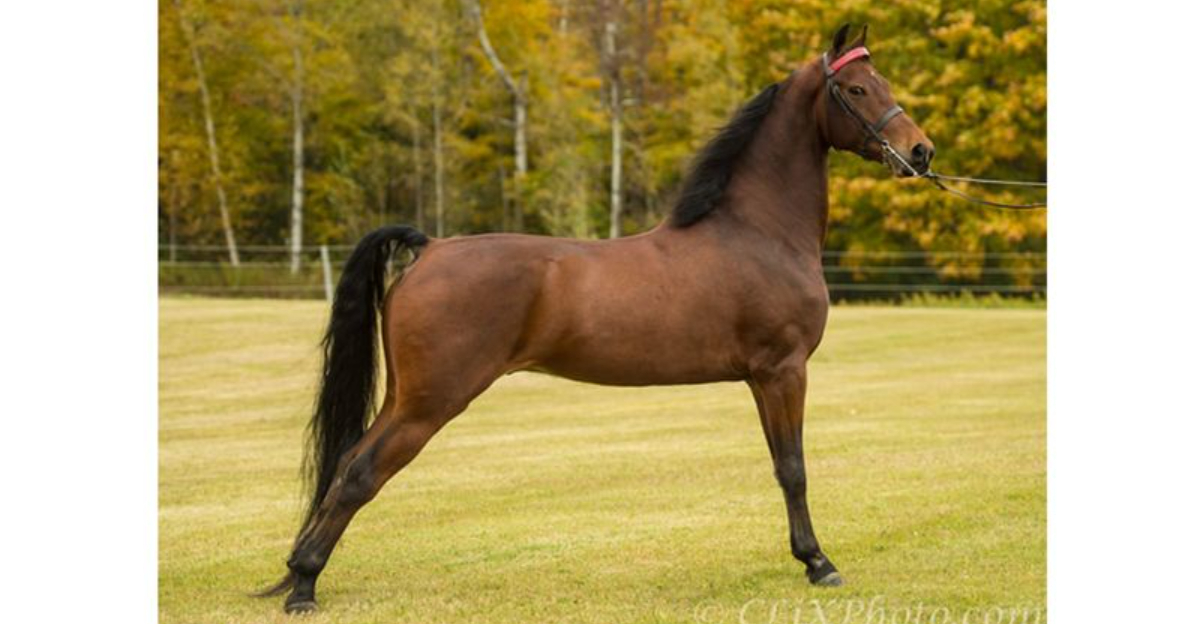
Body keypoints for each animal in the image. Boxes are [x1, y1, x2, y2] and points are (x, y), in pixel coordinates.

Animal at [259, 23, 934, 614]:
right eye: (856, 89)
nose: (921, 152)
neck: (756, 231)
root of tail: (431, 248)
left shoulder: (762, 379)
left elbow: (782, 465)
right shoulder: (782, 372)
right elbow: (792, 469)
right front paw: (818, 563)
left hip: (404, 397)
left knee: (345, 465)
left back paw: (296, 570)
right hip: (429, 404)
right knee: (359, 475)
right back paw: (303, 588)